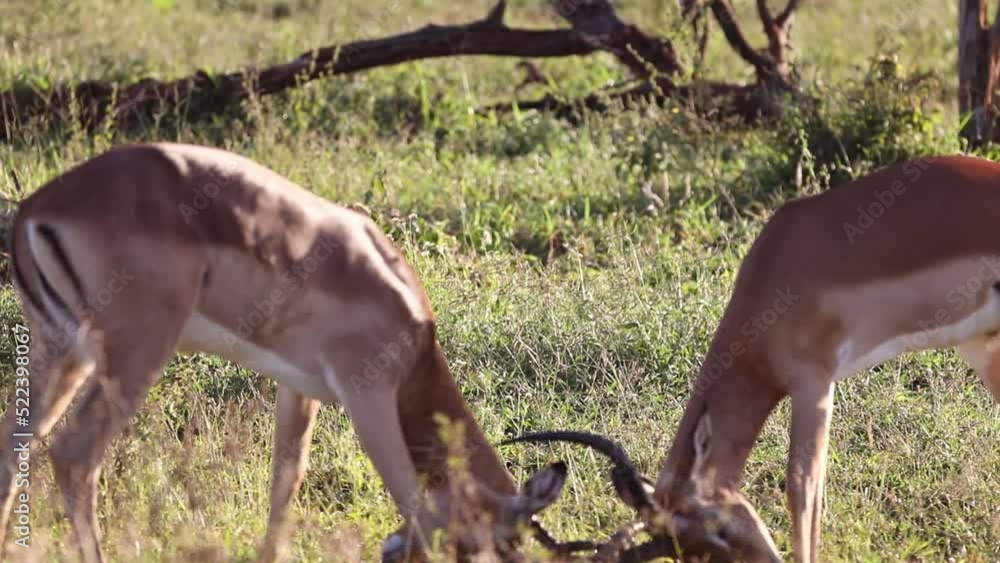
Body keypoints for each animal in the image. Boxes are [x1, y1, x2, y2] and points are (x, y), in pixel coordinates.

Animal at [0, 142, 573, 563]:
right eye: (506, 543)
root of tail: (35, 209)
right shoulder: (368, 394)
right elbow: (416, 503)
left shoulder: (299, 388)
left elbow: (286, 483)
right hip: (134, 353)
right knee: (74, 455)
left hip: (58, 351)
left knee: (14, 448)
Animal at [509, 155, 1000, 562]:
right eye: (691, 554)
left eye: (719, 526)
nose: (767, 560)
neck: (773, 272)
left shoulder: (813, 380)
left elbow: (803, 488)